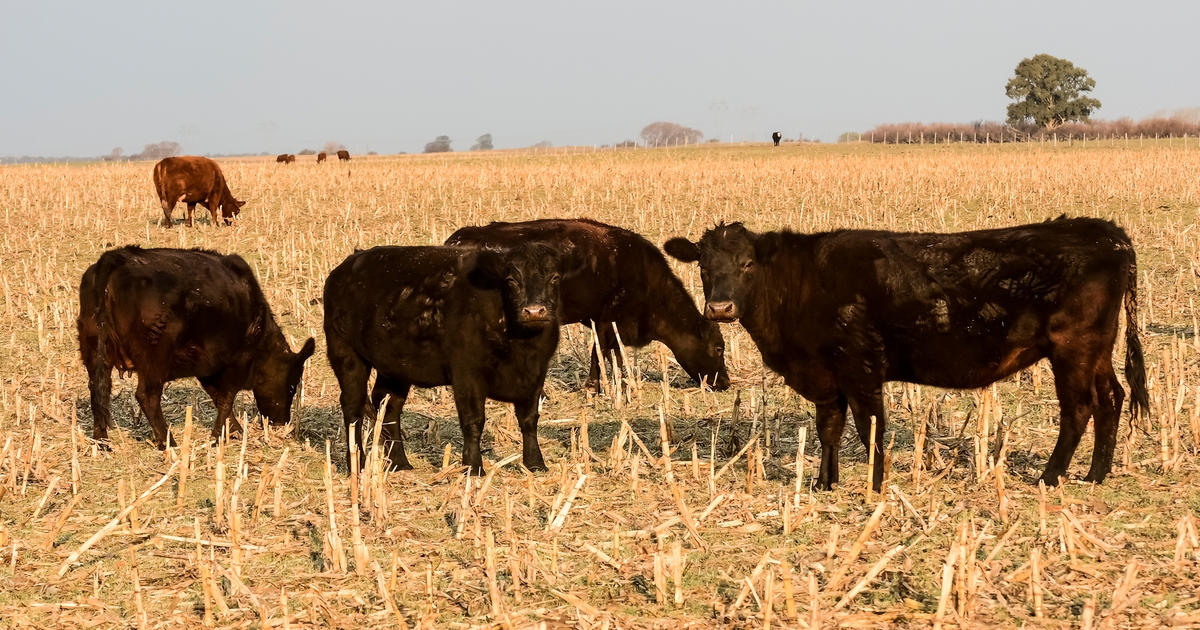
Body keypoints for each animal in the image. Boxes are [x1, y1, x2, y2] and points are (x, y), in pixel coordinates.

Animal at [78, 247, 316, 448]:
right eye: (292, 386)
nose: (282, 422)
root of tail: (119, 256)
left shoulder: (207, 367)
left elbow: (218, 397)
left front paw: (235, 431)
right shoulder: (239, 360)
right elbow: (226, 398)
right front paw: (217, 437)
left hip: (94, 350)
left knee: (98, 391)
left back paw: (101, 441)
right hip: (155, 358)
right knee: (147, 396)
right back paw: (169, 442)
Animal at [324, 243, 564, 474]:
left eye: (554, 278)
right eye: (512, 279)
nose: (534, 311)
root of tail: (346, 266)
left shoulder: (536, 374)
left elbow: (529, 420)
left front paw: (536, 464)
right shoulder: (467, 374)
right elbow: (474, 421)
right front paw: (473, 468)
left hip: (395, 367)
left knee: (388, 404)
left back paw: (400, 463)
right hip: (346, 355)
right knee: (353, 407)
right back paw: (358, 464)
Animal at [446, 219, 728, 391]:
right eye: (718, 348)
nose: (725, 382)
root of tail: (459, 238)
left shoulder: (606, 324)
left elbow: (610, 354)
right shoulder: (606, 320)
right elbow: (599, 354)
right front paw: (594, 386)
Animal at [665, 217, 1149, 491]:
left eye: (747, 264)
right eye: (703, 267)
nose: (720, 307)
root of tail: (1106, 231)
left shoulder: (860, 367)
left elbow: (871, 429)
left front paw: (876, 488)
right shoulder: (826, 377)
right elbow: (829, 429)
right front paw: (824, 483)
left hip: (1073, 347)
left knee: (1079, 408)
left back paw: (1050, 477)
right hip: (1096, 349)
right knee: (1112, 398)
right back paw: (1096, 474)